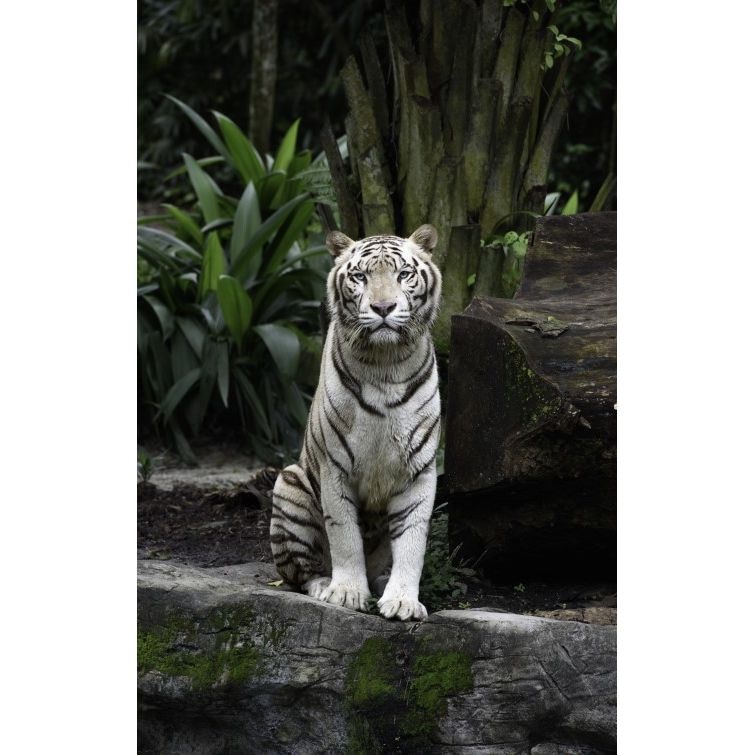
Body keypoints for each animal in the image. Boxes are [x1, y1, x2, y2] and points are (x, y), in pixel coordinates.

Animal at [270, 224, 442, 621]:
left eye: (403, 274)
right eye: (360, 277)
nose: (383, 308)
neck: (386, 362)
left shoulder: (419, 470)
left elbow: (413, 541)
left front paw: (403, 601)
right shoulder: (335, 466)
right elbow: (344, 535)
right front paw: (348, 593)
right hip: (289, 480)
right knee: (300, 573)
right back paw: (324, 585)